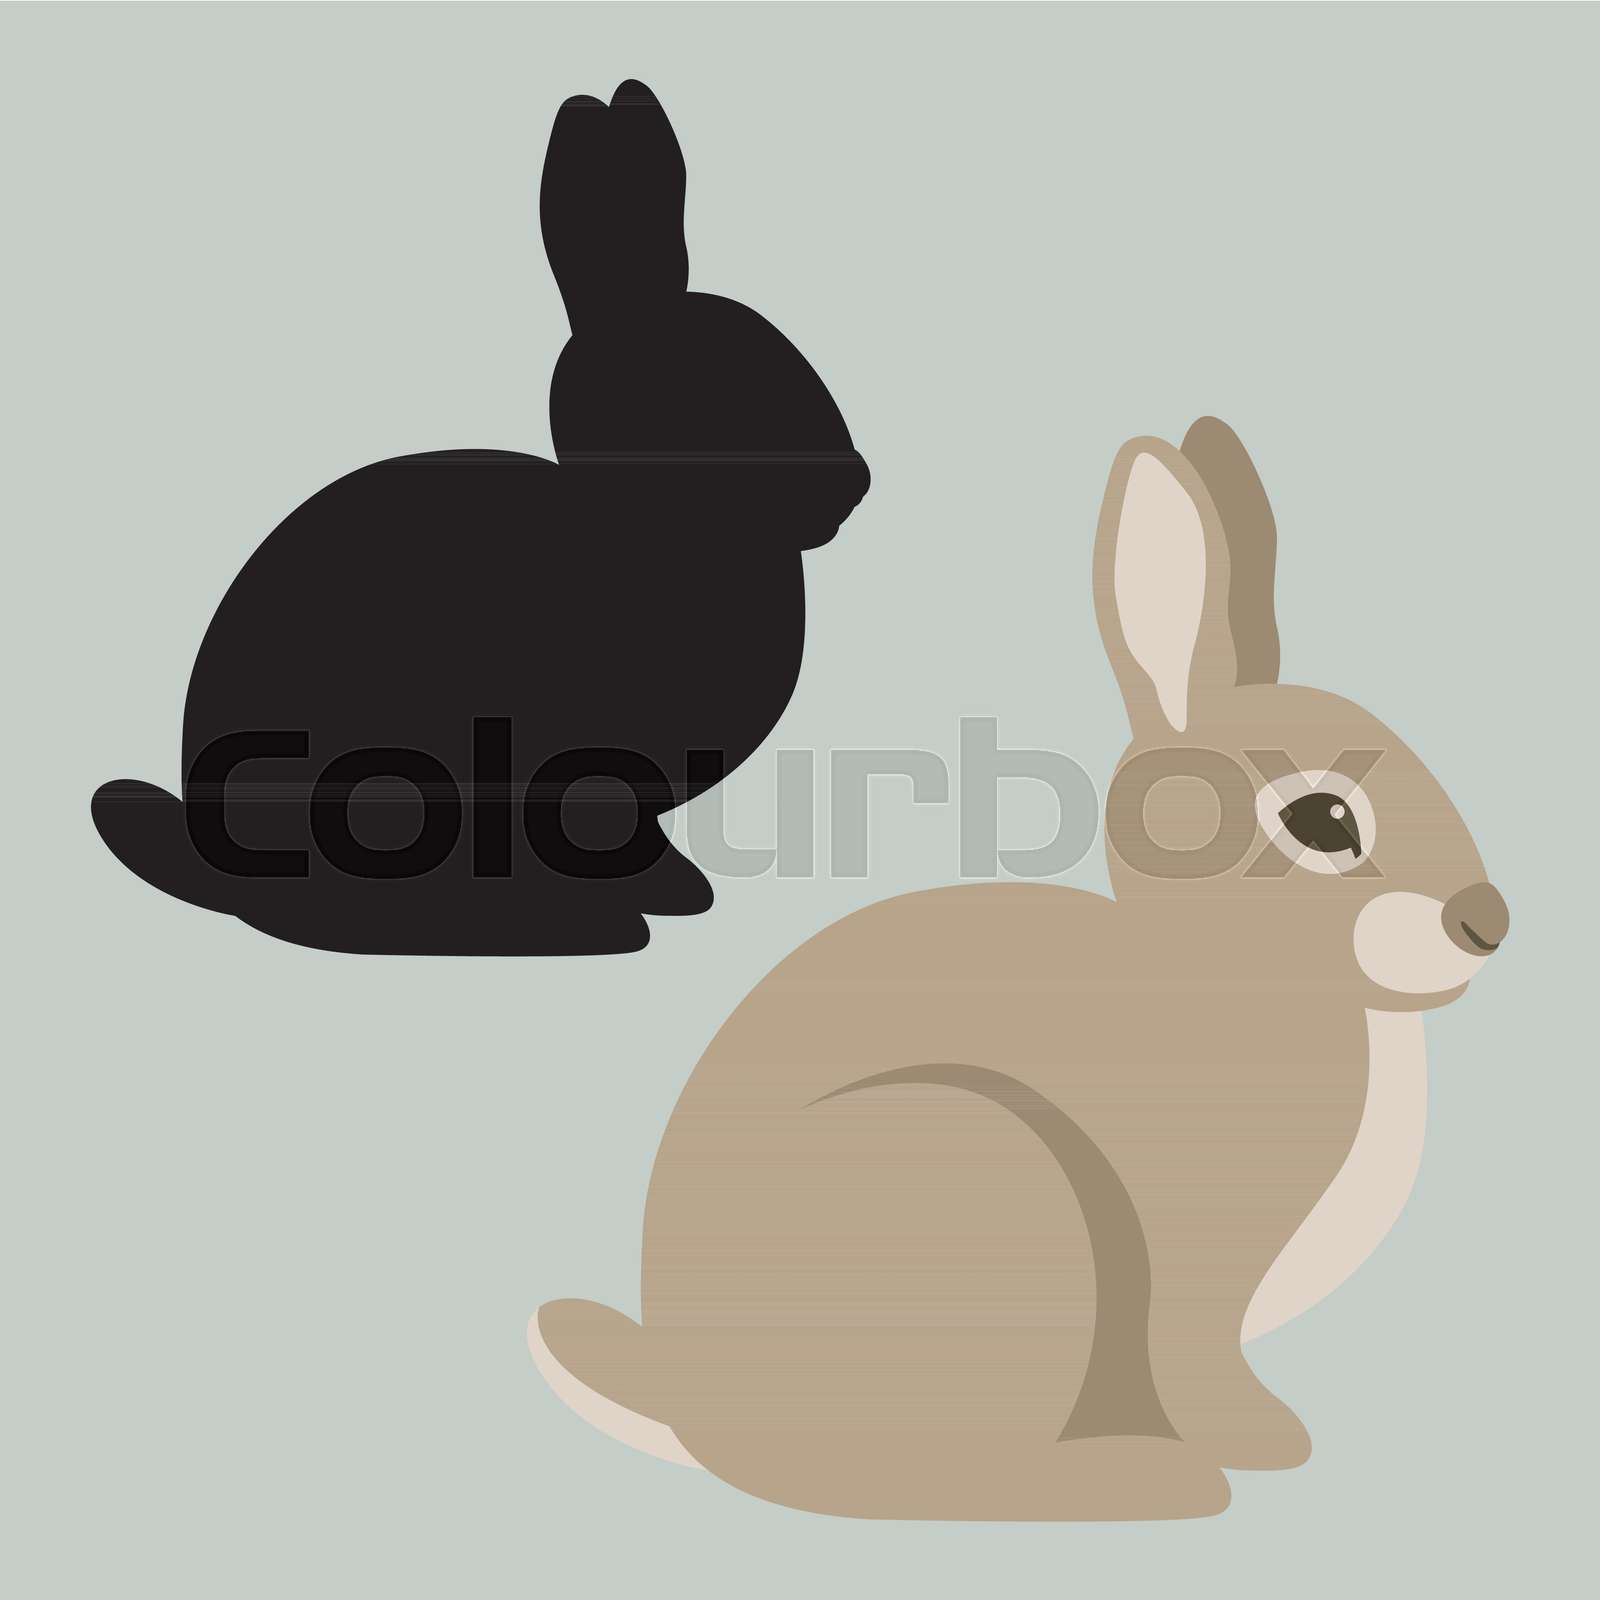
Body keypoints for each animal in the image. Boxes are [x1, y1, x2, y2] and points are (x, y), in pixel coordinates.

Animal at [530, 418, 1509, 1520]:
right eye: (1322, 819)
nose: (1486, 922)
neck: (1228, 974)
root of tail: (690, 1404)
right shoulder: (1193, 1270)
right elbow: (1196, 1358)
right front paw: (1263, 1443)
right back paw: (1144, 1478)